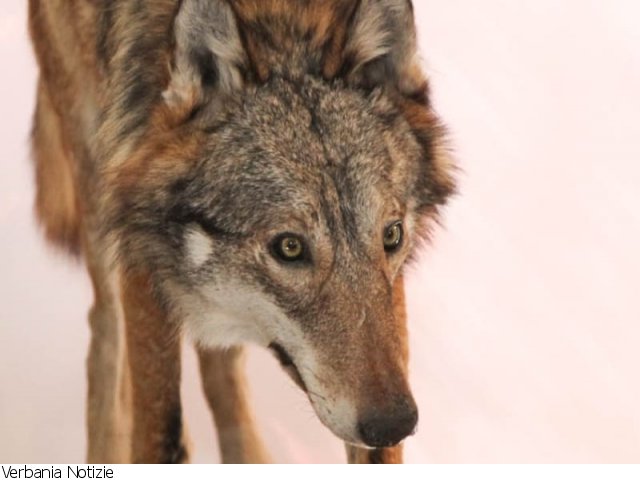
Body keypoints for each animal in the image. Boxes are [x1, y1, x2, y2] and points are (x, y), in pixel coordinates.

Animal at [28, 0, 455, 464]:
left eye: (391, 236)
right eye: (289, 247)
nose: (394, 424)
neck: (284, 24)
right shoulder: (141, 251)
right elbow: (162, 435)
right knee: (107, 329)